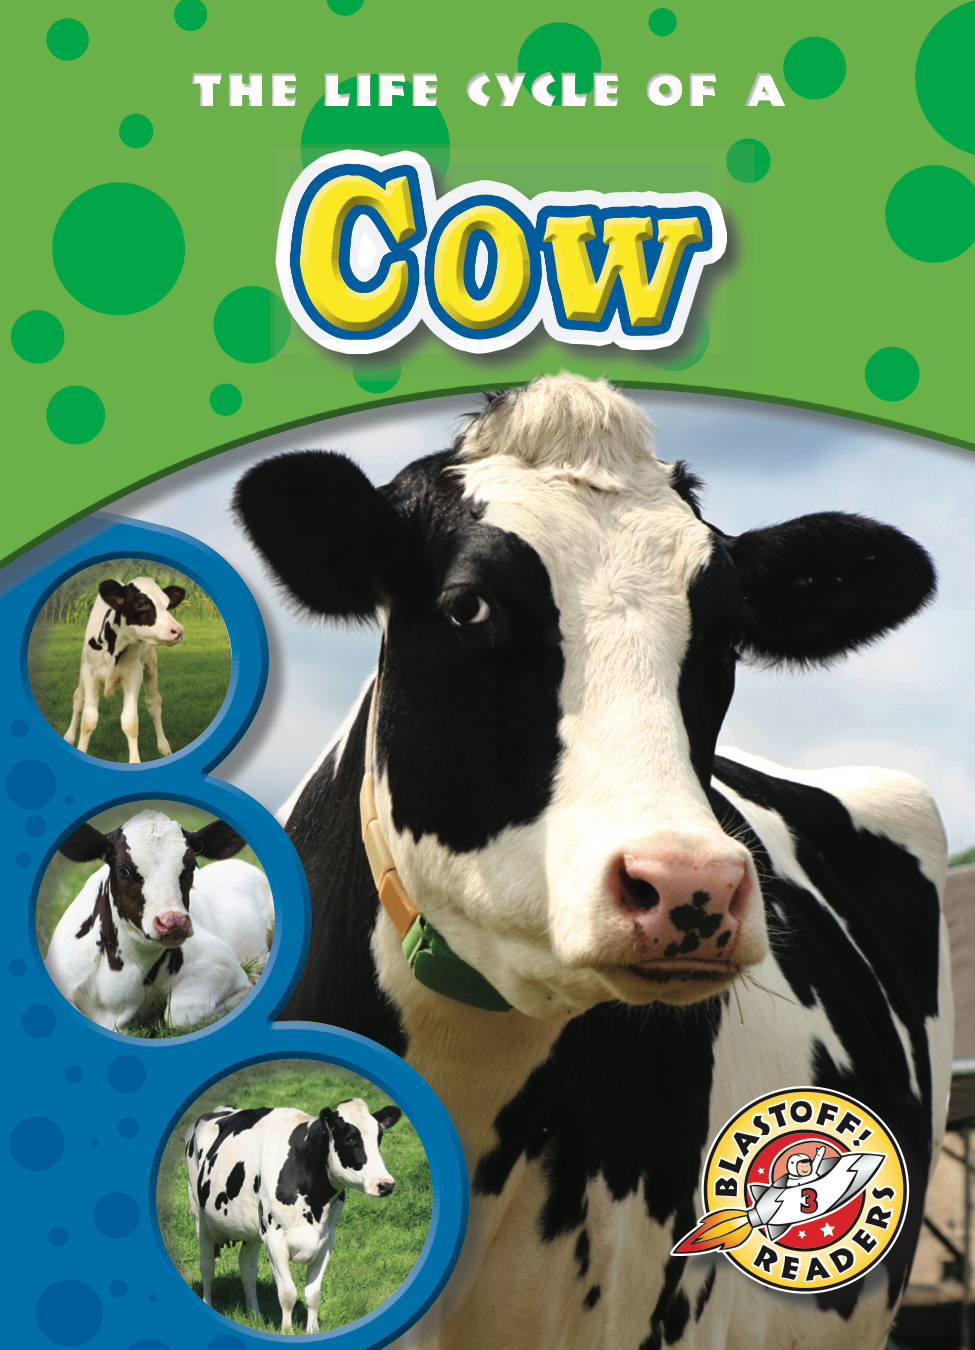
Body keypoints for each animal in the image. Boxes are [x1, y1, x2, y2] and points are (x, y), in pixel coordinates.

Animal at [63, 576, 186, 762]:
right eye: (141, 603)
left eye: (166, 604)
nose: (178, 631)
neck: (115, 647)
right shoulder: (89, 673)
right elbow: (88, 719)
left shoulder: (133, 674)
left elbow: (130, 722)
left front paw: (135, 761)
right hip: (83, 667)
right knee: (79, 699)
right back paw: (69, 737)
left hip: (150, 663)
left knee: (153, 703)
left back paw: (164, 746)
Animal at [185, 1098, 402, 1333]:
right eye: (350, 1138)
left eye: (379, 1137)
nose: (386, 1184)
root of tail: (221, 1109)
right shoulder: (275, 1239)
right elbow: (288, 1293)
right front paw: (287, 1332)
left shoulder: (326, 1240)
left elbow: (313, 1293)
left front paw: (313, 1330)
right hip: (198, 1213)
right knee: (207, 1265)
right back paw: (209, 1304)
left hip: (251, 1228)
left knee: (248, 1267)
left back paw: (255, 1315)